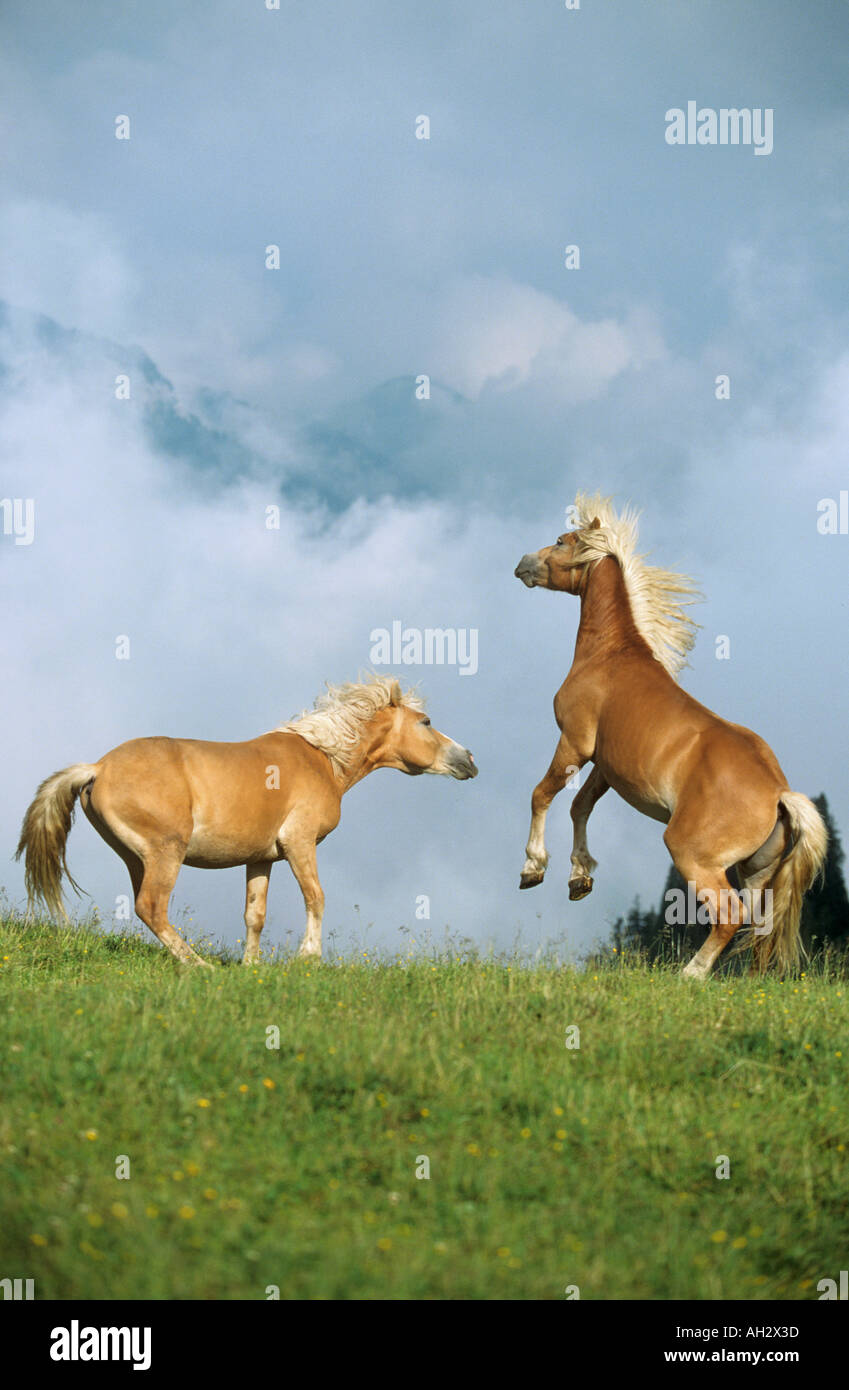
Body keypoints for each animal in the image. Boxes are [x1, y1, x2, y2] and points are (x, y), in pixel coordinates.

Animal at [16, 675, 478, 966]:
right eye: (426, 722)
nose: (469, 760)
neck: (323, 759)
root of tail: (97, 767)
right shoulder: (299, 842)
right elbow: (316, 896)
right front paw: (309, 958)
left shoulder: (261, 859)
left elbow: (255, 914)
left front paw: (251, 967)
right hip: (166, 852)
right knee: (152, 907)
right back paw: (199, 966)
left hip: (136, 858)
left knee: (148, 909)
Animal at [514, 493, 827, 980]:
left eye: (562, 540)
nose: (523, 563)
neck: (610, 655)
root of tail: (779, 794)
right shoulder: (606, 766)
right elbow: (580, 807)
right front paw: (580, 878)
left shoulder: (575, 744)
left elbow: (542, 794)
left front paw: (533, 868)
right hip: (757, 871)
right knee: (760, 924)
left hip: (692, 856)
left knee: (729, 915)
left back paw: (692, 975)